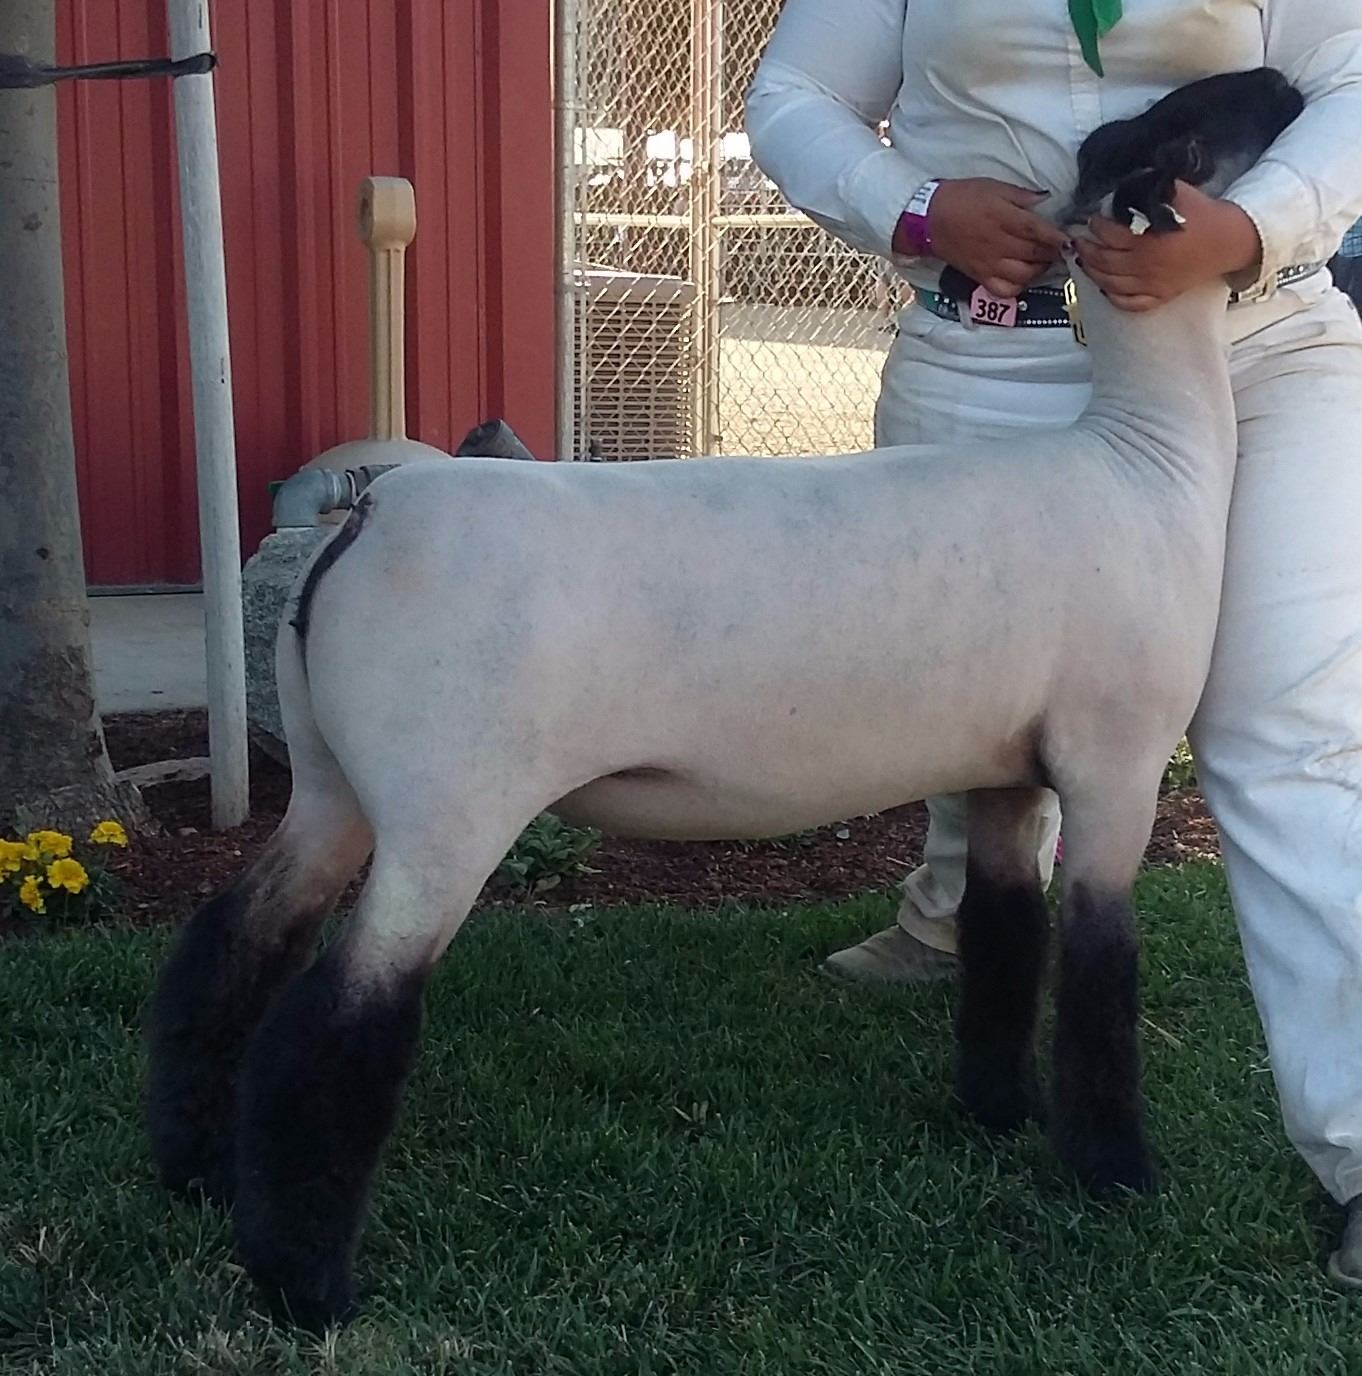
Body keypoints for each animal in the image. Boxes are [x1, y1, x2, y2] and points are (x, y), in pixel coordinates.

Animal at [145, 71, 1302, 1329]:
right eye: (1190, 122)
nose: (1288, 85)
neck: (1145, 461)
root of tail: (365, 513)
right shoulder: (1117, 764)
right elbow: (1098, 973)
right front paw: (1114, 1172)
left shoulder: (1003, 771)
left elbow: (1005, 940)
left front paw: (1000, 1114)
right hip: (443, 810)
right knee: (333, 1027)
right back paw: (307, 1284)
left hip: (333, 784)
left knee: (226, 949)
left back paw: (192, 1173)